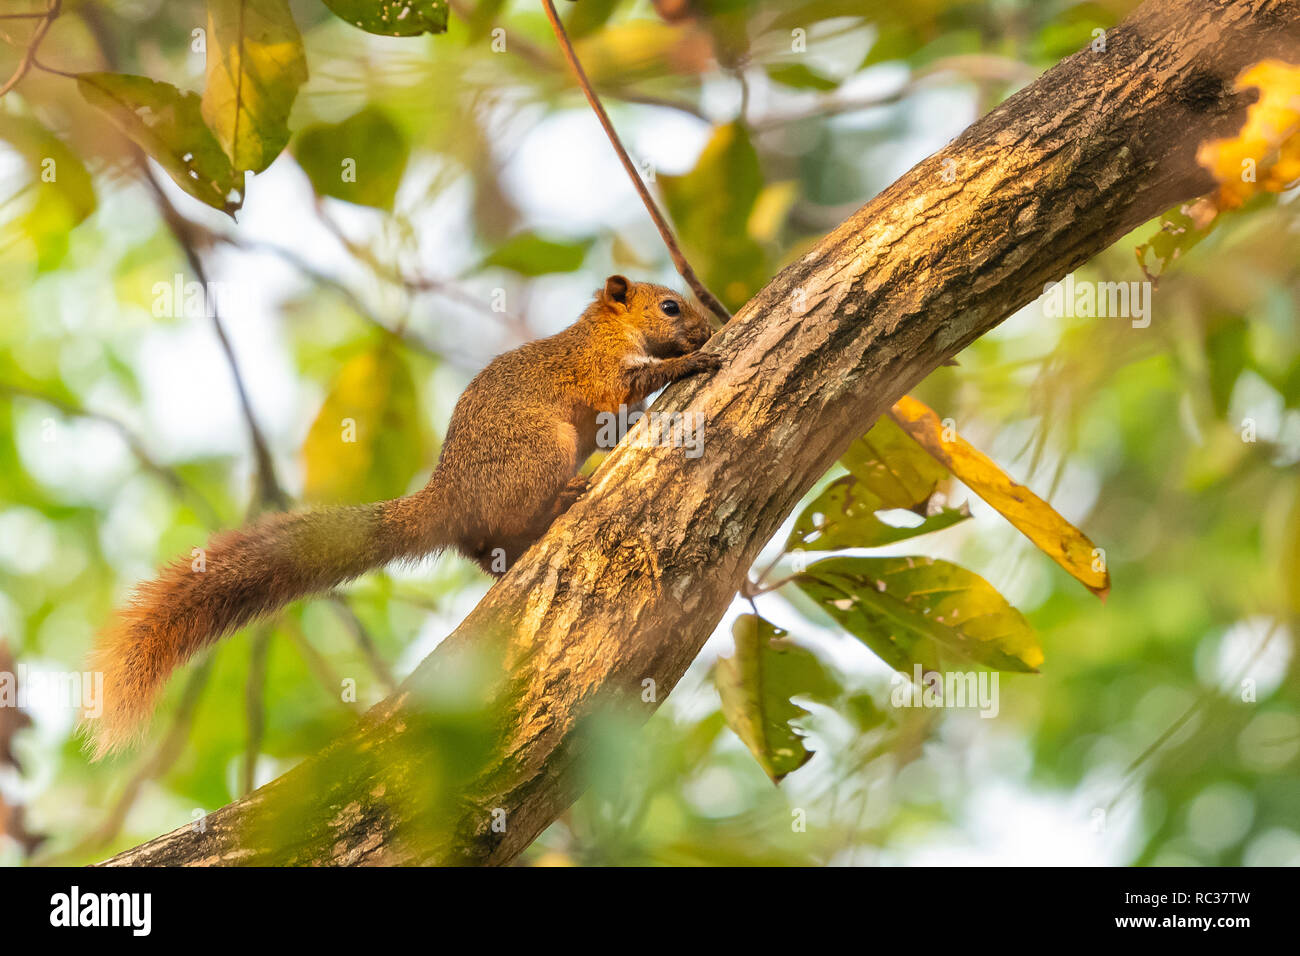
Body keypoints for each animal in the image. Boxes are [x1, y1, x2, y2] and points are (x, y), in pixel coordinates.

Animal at [85, 275, 720, 758]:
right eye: (669, 305)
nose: (706, 329)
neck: (606, 329)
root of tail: (449, 497)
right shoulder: (600, 370)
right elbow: (633, 383)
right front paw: (694, 360)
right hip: (540, 449)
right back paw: (563, 498)